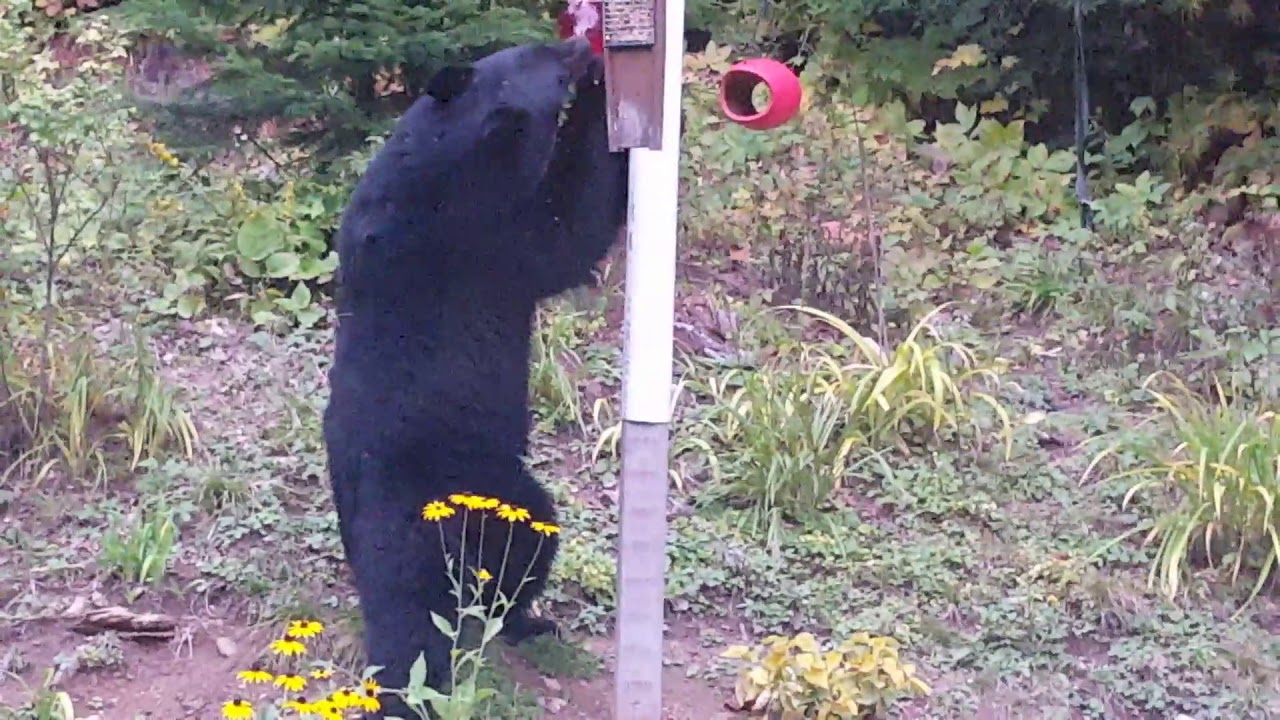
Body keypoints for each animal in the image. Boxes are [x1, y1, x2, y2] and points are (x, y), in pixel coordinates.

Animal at [321, 36, 628, 719]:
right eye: (543, 53)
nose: (574, 43)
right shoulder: (480, 235)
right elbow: (565, 231)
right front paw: (597, 99)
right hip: (482, 498)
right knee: (445, 607)